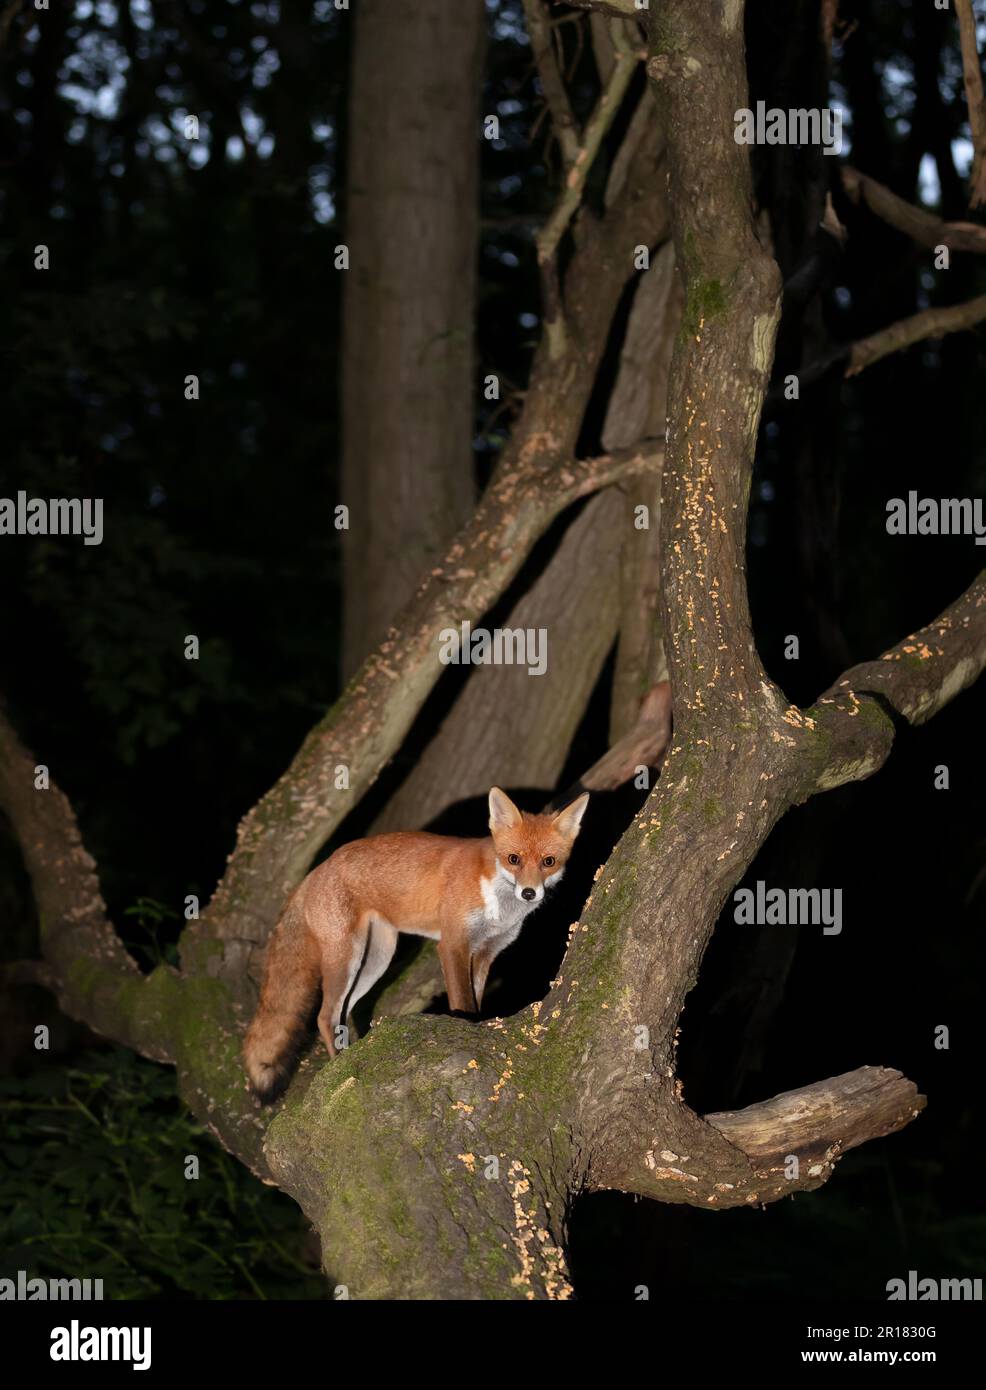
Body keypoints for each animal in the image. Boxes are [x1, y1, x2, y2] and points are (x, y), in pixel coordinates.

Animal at [243, 786, 589, 1101]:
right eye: (513, 859)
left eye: (548, 861)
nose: (529, 893)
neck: (499, 905)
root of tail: (316, 869)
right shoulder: (453, 944)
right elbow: (462, 1001)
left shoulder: (485, 953)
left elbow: (476, 1001)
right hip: (346, 957)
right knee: (323, 1017)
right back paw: (336, 1067)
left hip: (376, 958)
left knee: (346, 1011)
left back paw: (353, 1053)